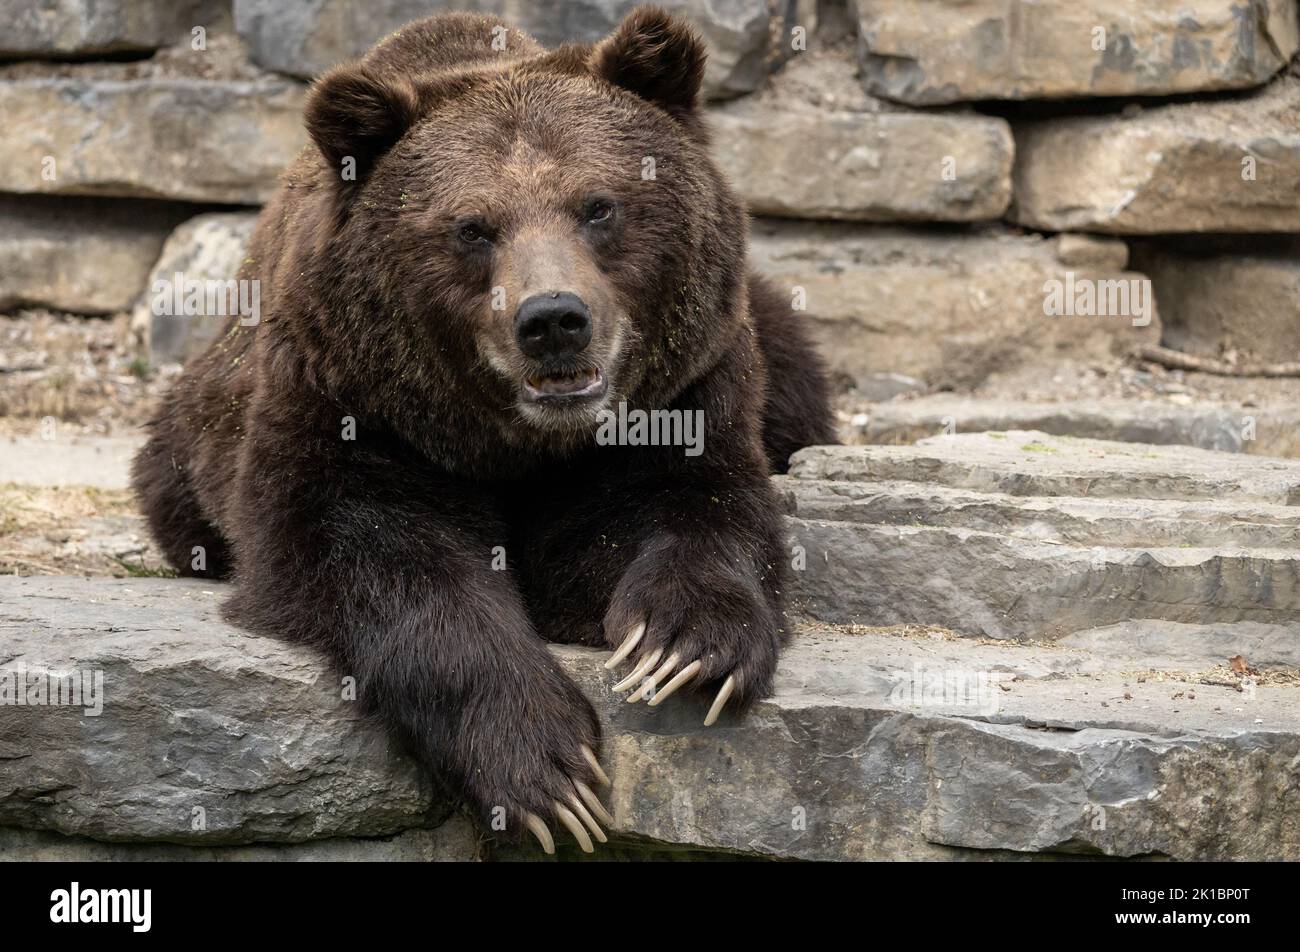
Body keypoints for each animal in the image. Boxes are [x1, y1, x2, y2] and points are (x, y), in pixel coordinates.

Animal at [131, 6, 834, 854]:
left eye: (598, 205)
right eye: (472, 227)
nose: (554, 320)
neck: (521, 441)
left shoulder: (686, 390)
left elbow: (697, 507)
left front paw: (682, 649)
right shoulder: (348, 402)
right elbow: (369, 551)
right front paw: (546, 769)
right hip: (190, 439)